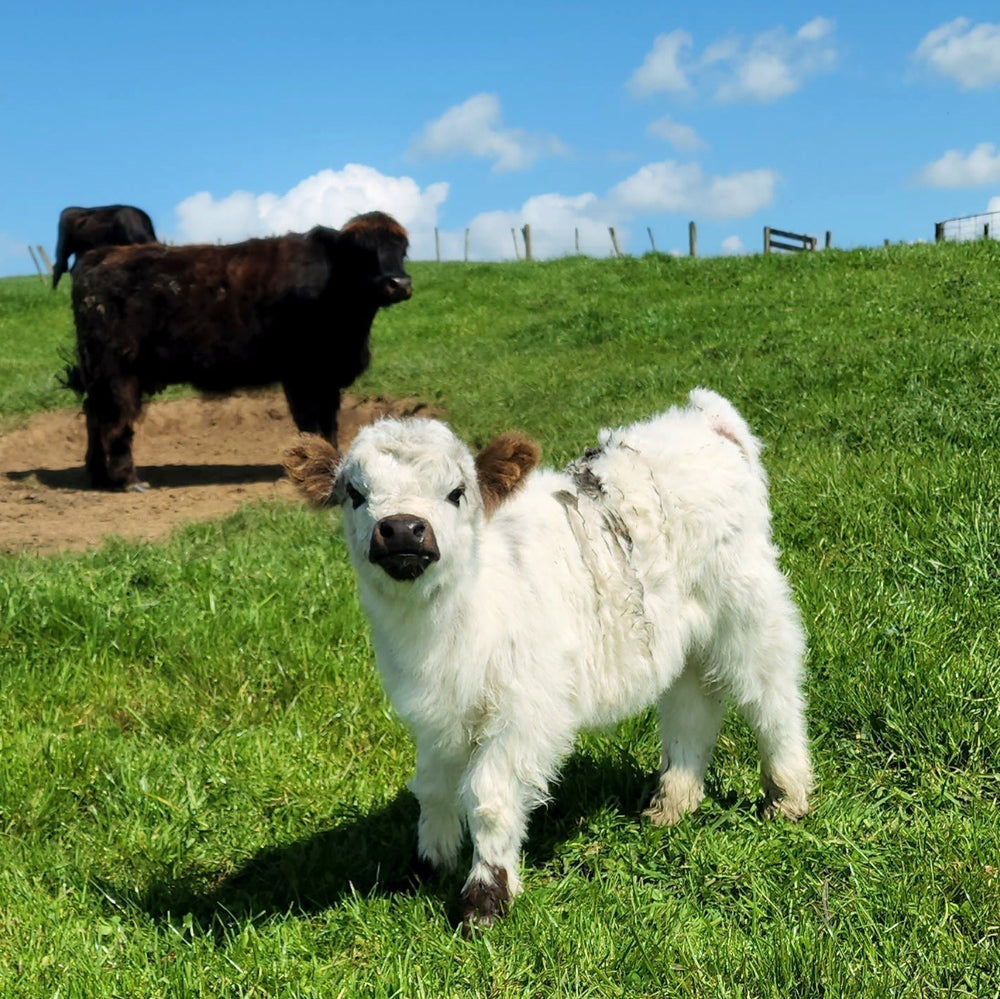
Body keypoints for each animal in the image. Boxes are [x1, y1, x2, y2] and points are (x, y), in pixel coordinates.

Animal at [69, 211, 412, 490]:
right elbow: (310, 424)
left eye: (403, 250)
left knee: (94, 416)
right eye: (363, 251)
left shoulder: (326, 378)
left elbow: (328, 424)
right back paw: (128, 480)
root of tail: (100, 257)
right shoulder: (302, 377)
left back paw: (99, 476)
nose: (399, 283)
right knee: (115, 421)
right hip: (118, 375)